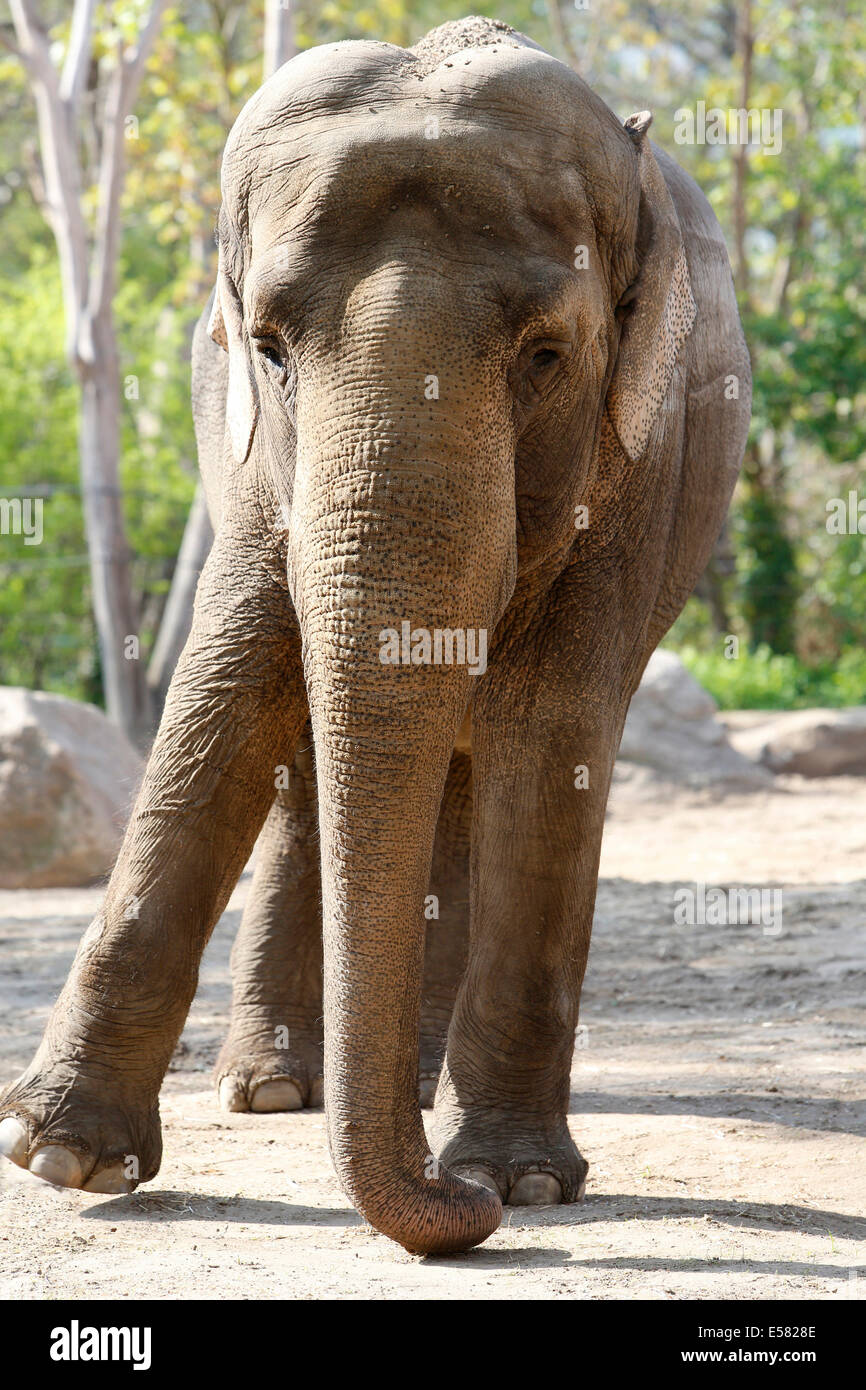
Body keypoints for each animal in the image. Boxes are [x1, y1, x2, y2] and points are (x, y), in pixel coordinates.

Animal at [0, 15, 750, 1256]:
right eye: (266, 348)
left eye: (545, 355)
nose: (461, 1207)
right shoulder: (253, 469)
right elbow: (227, 689)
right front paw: (62, 1155)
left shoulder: (642, 460)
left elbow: (552, 731)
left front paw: (516, 1180)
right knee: (314, 767)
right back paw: (275, 1088)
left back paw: (422, 1085)